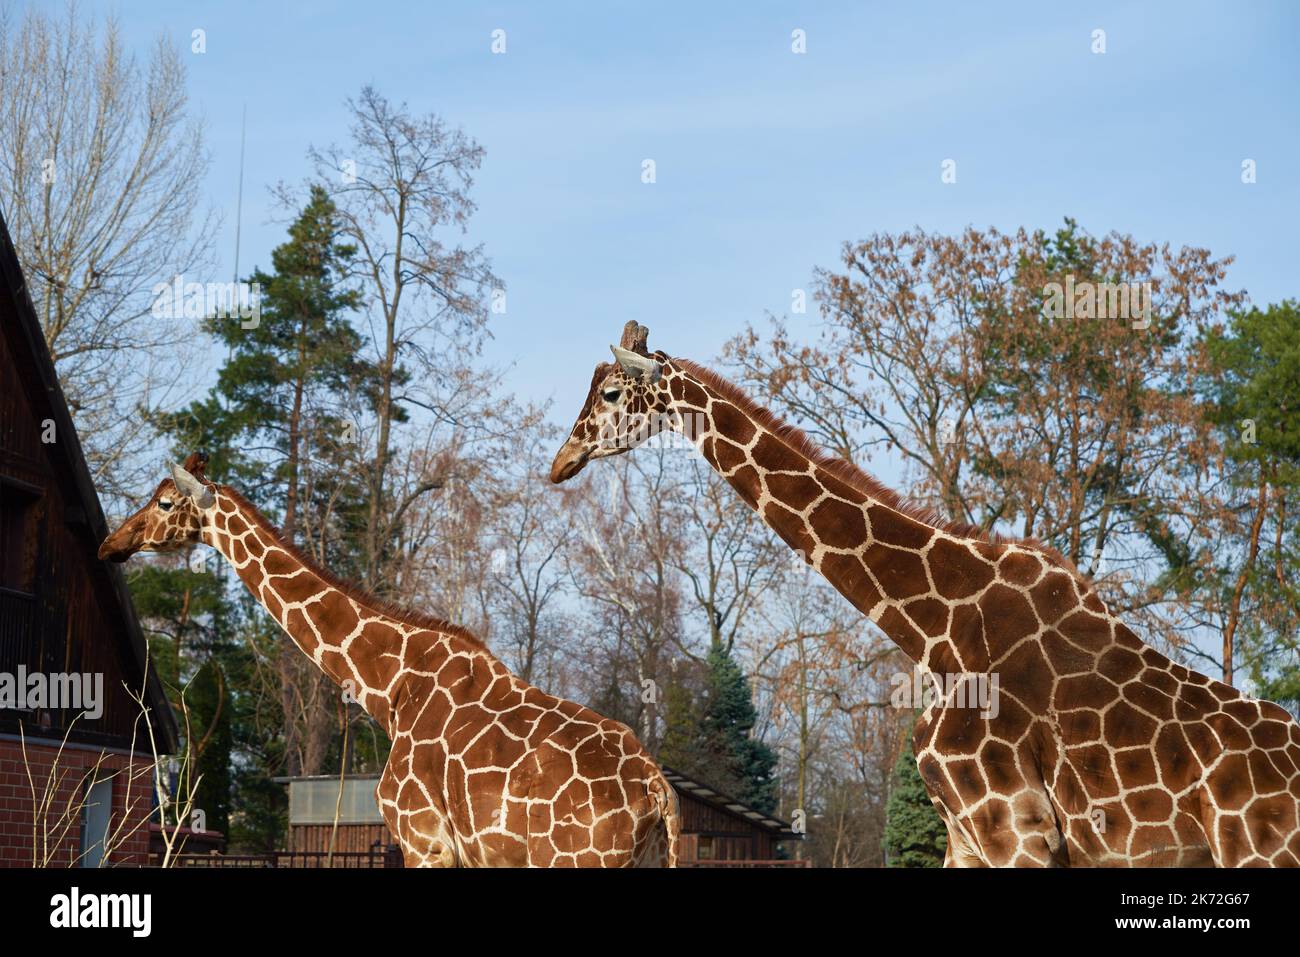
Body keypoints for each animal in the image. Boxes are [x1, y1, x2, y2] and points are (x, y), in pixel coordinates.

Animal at [99, 453, 679, 867]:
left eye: (165, 503)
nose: (111, 543)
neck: (392, 689)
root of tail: (658, 792)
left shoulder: (424, 840)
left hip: (577, 861)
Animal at [550, 321, 1300, 867]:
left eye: (611, 394)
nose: (562, 462)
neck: (937, 627)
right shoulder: (969, 833)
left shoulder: (1017, 829)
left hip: (1259, 855)